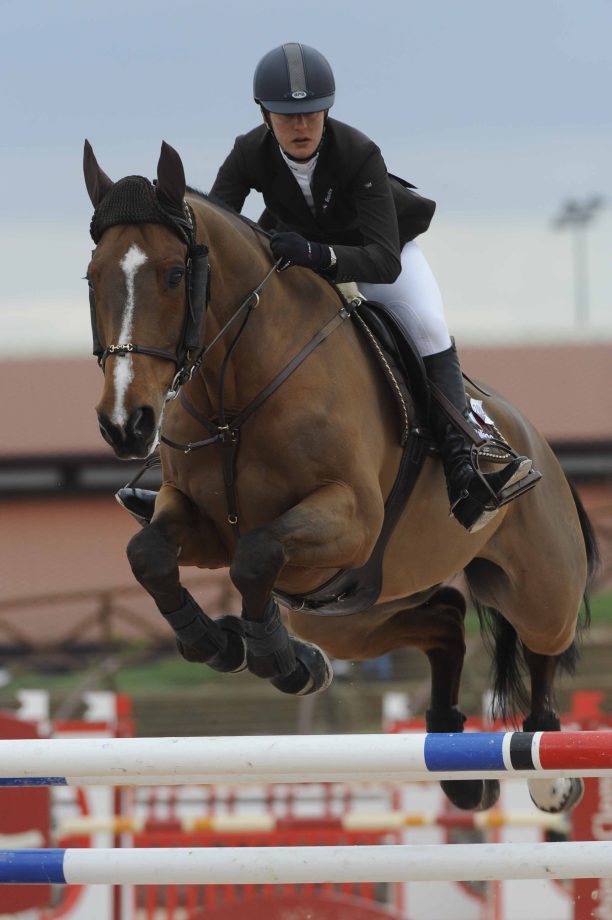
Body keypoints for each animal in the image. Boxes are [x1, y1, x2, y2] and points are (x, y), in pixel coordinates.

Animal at [83, 140, 598, 815]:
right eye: (92, 278)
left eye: (173, 274)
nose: (126, 424)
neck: (233, 395)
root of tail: (536, 442)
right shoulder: (196, 520)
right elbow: (149, 555)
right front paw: (227, 645)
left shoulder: (347, 516)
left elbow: (257, 552)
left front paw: (275, 659)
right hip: (354, 607)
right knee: (445, 621)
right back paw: (455, 759)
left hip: (536, 583)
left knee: (543, 646)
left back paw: (549, 772)